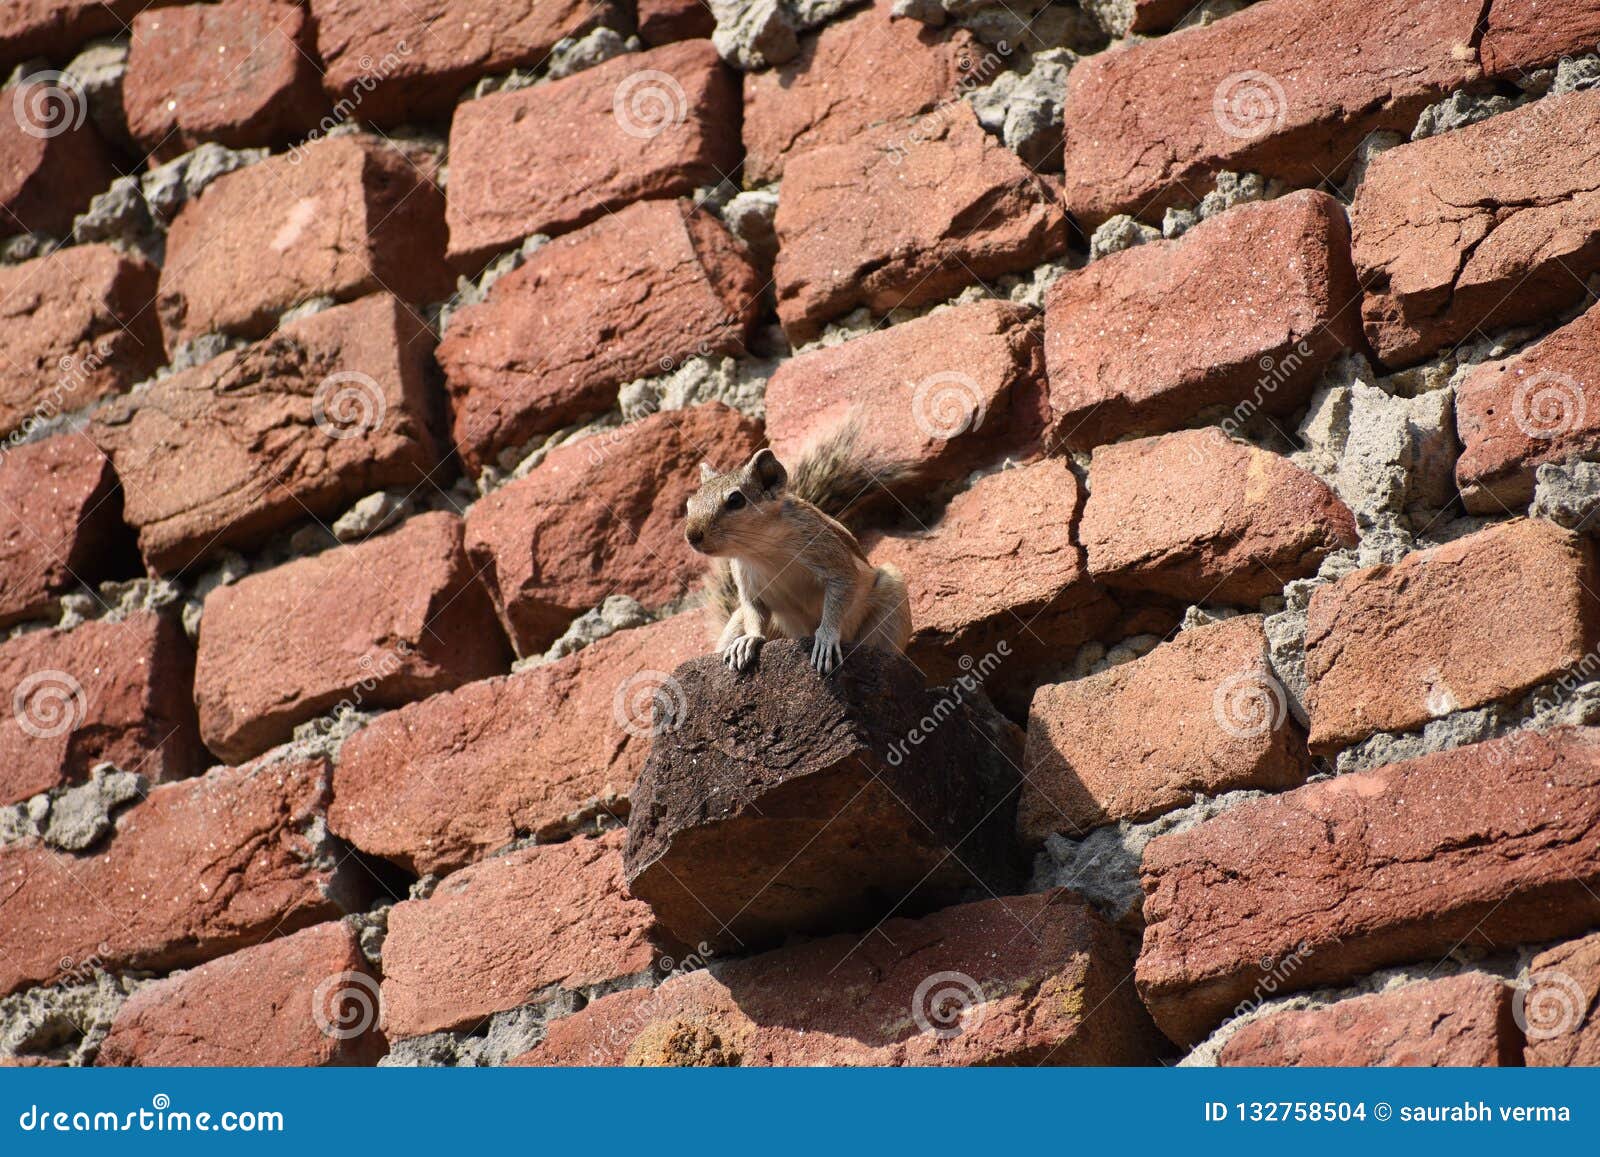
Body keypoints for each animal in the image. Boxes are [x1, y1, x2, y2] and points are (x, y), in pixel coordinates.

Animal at [684, 423, 912, 675]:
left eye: (736, 500)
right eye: (689, 503)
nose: (692, 536)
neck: (761, 549)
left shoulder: (829, 555)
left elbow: (840, 591)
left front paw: (826, 637)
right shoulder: (748, 584)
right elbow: (754, 611)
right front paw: (750, 639)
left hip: (891, 598)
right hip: (738, 620)